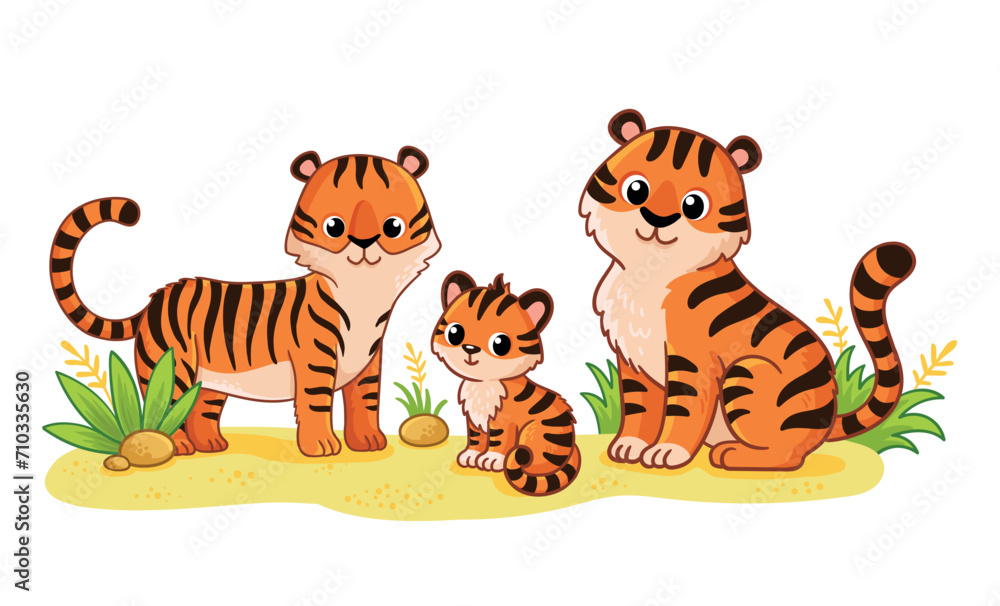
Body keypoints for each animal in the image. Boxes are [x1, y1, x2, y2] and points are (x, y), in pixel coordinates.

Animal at [49, 146, 441, 457]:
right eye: (334, 226)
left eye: (393, 226)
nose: (363, 241)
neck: (364, 292)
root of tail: (158, 297)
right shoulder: (315, 358)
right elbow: (317, 402)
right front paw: (322, 447)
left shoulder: (368, 359)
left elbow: (366, 401)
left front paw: (369, 442)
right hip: (172, 366)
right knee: (167, 407)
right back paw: (178, 447)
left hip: (211, 380)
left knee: (201, 411)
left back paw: (211, 445)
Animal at [431, 272, 580, 496]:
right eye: (455, 333)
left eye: (500, 344)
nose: (470, 348)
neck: (484, 383)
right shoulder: (474, 417)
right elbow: (476, 437)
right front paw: (471, 455)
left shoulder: (504, 420)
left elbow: (499, 440)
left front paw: (491, 459)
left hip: (534, 432)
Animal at [578, 108, 915, 471]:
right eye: (636, 189)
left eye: (694, 205)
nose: (658, 217)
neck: (649, 270)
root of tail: (829, 414)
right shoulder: (632, 356)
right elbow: (639, 407)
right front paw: (630, 445)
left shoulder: (691, 358)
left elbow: (683, 408)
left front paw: (669, 451)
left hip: (747, 373)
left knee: (789, 455)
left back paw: (734, 454)